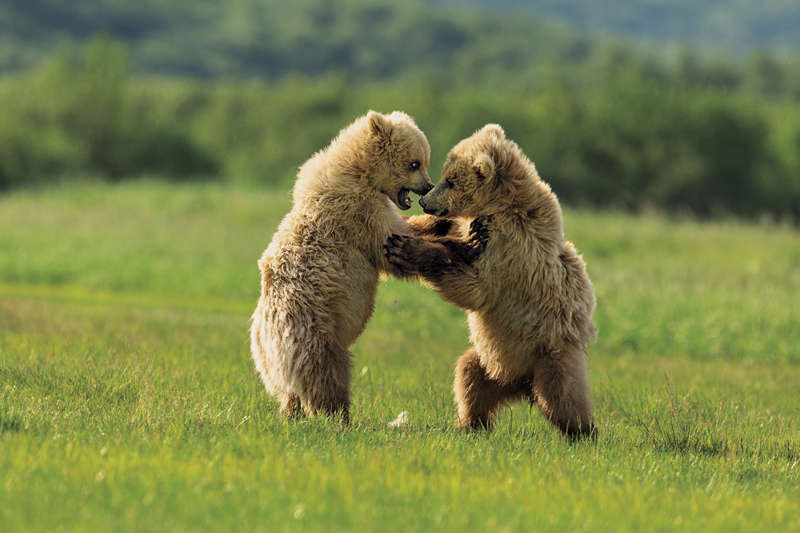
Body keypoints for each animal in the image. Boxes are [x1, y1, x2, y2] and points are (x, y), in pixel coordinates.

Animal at [250, 110, 438, 422]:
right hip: (312, 333)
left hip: (270, 361)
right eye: (415, 163)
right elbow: (391, 241)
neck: (359, 171)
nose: (428, 186)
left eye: (424, 160)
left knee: (291, 391)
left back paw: (292, 413)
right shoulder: (359, 211)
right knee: (325, 376)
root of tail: (267, 338)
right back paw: (337, 416)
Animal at [385, 124, 598, 438]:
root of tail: (521, 387)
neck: (497, 208)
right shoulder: (473, 225)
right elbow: (445, 231)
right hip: (489, 360)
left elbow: (475, 288)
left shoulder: (512, 249)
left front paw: (408, 249)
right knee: (469, 378)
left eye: (450, 181)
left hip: (551, 355)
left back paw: (584, 431)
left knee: (562, 396)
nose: (425, 201)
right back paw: (469, 424)